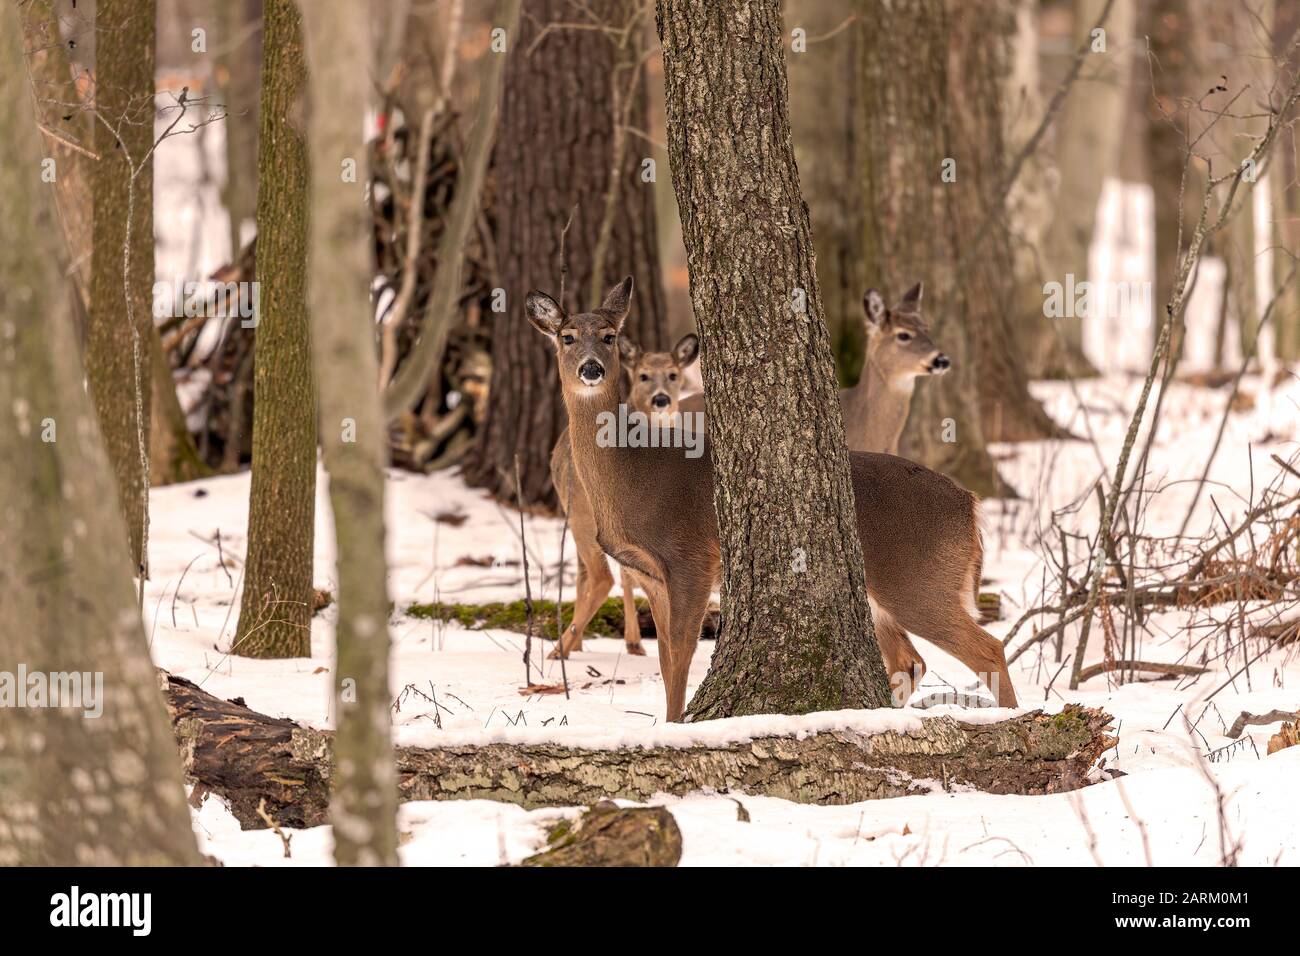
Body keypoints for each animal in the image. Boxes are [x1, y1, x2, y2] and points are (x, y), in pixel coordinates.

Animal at [549, 331, 701, 659]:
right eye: (642, 375)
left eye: (673, 374)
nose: (661, 399)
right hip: (581, 513)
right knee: (601, 575)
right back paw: (564, 648)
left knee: (596, 573)